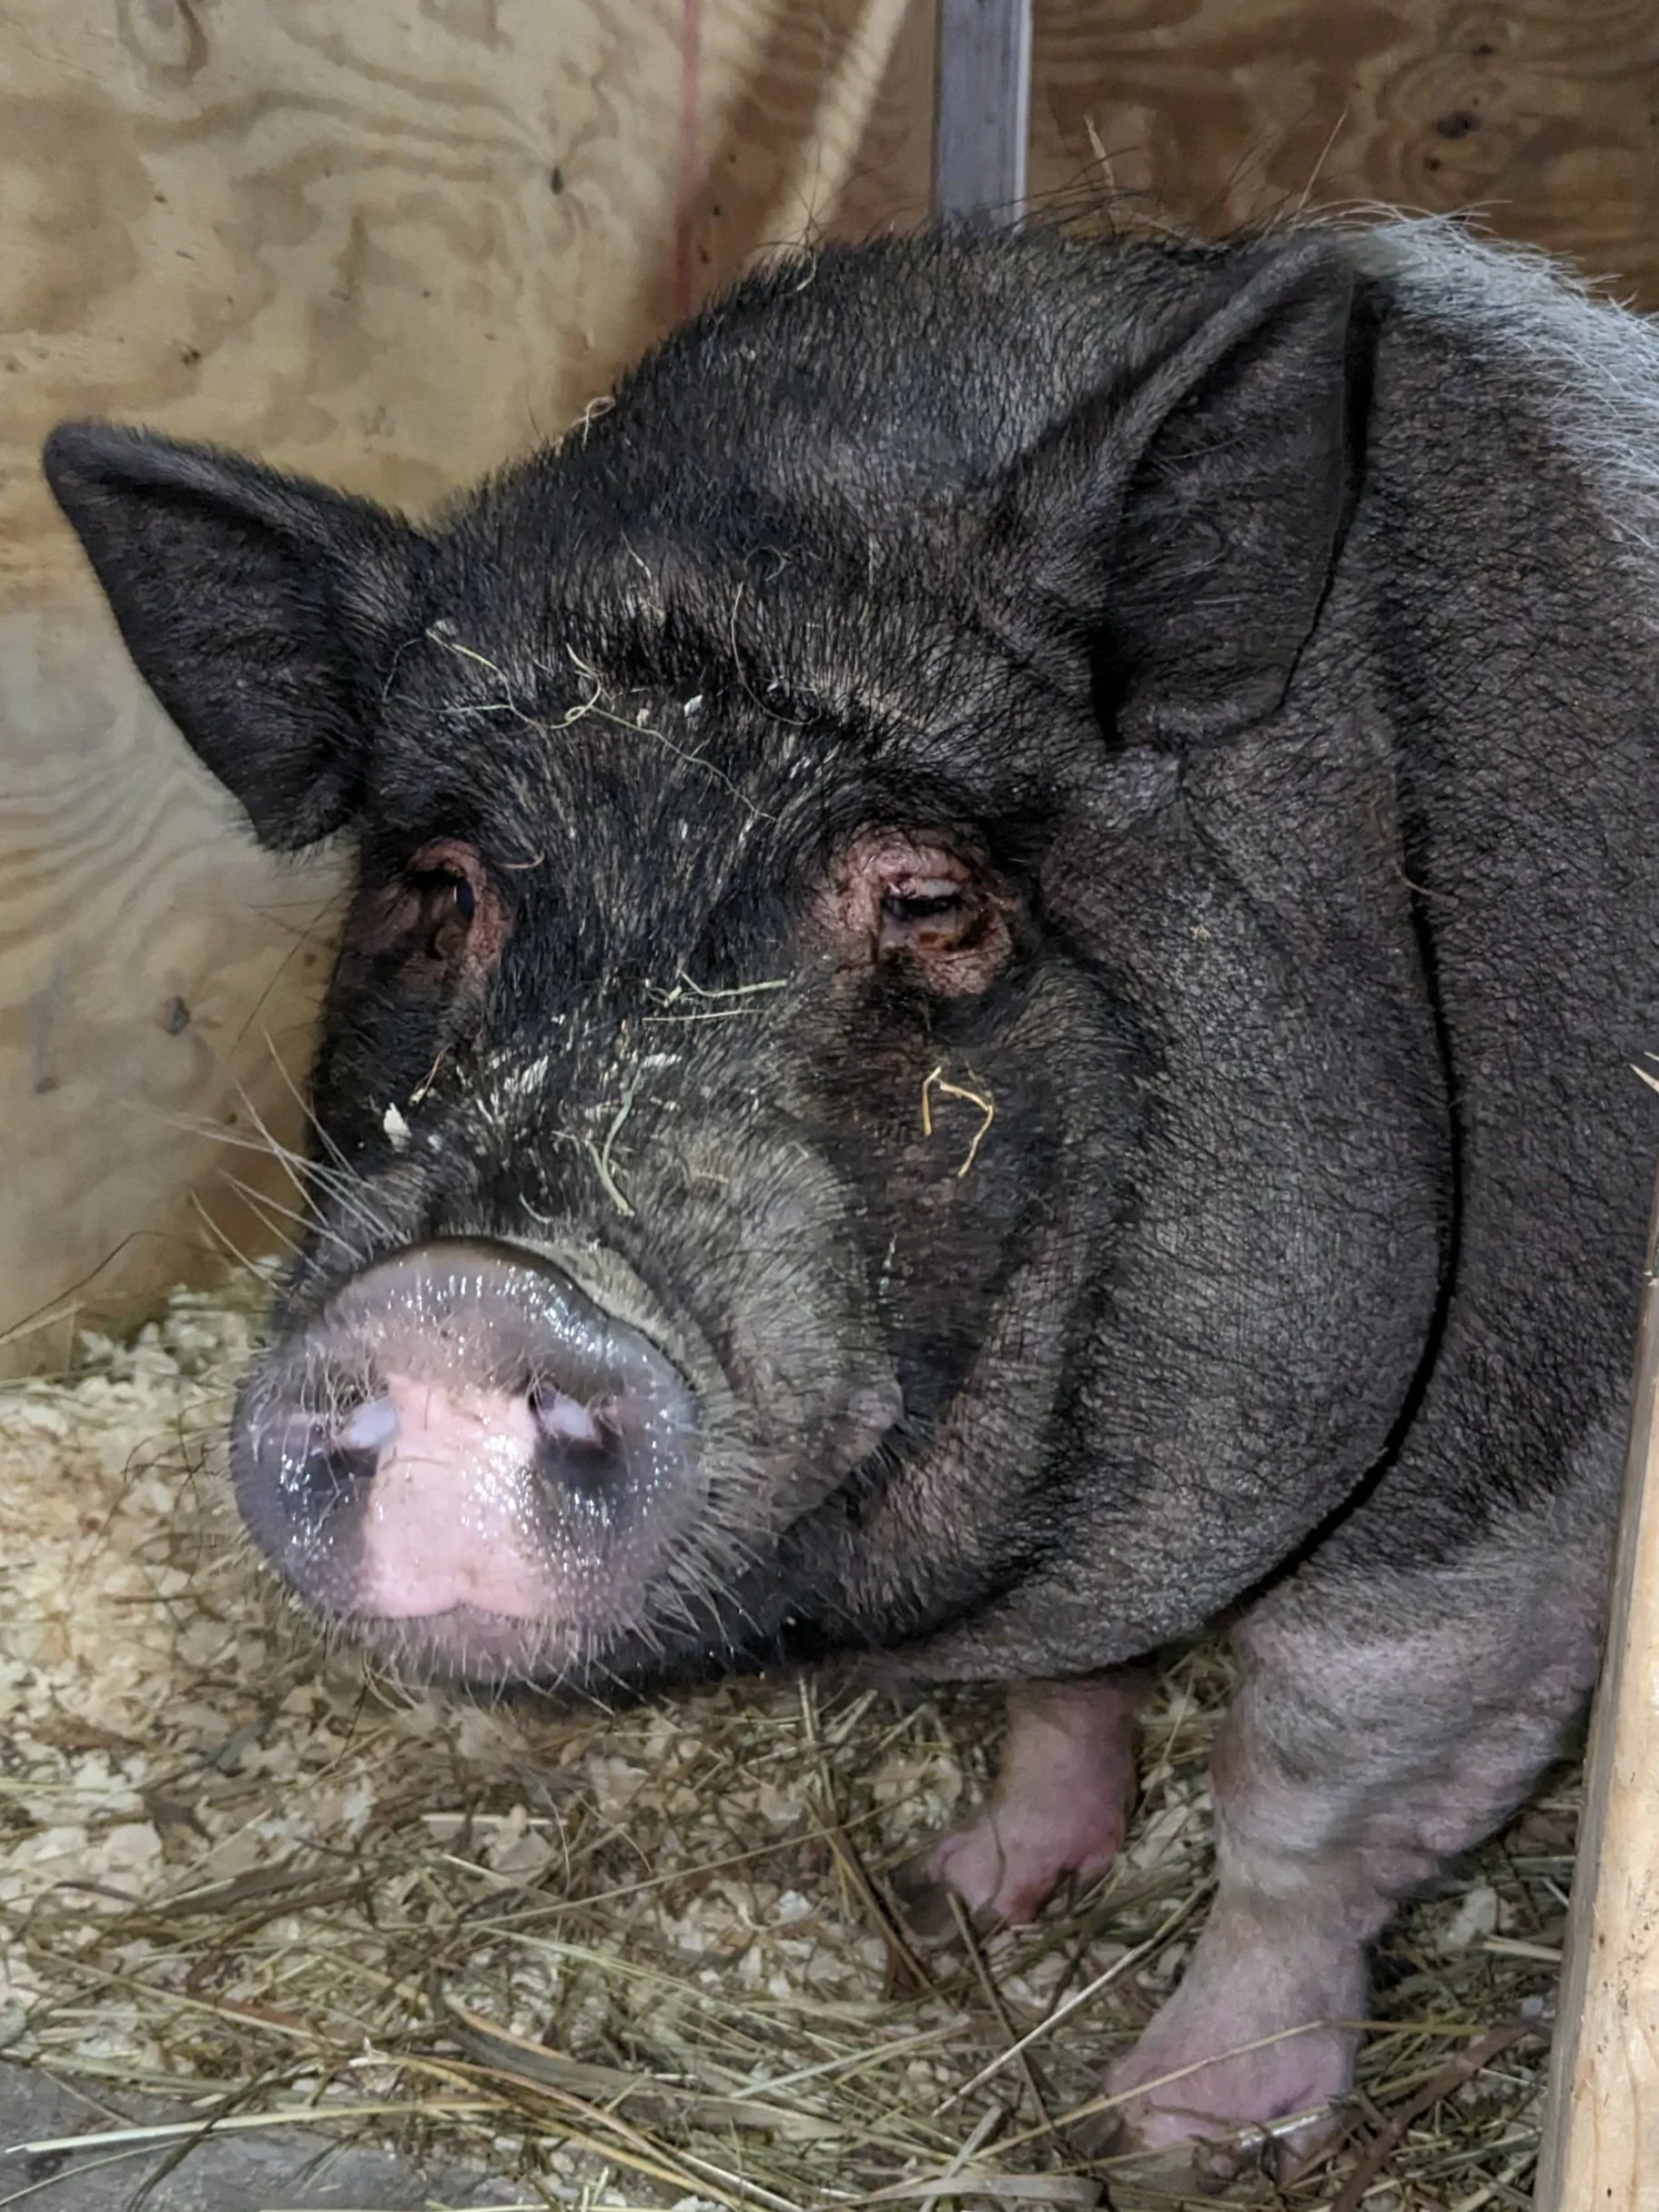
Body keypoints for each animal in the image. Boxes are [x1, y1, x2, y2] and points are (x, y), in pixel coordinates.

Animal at [42, 213, 1659, 2175]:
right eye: (438, 885)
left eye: (929, 896)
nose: (461, 1290)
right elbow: (1059, 1695)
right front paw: (972, 1890)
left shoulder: (1495, 1467)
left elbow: (1307, 1792)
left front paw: (1172, 2128)